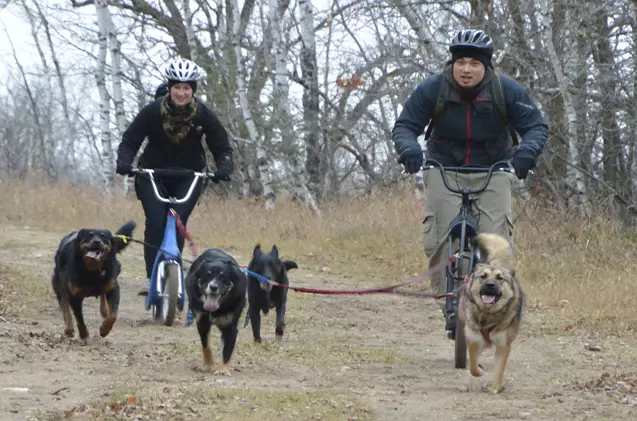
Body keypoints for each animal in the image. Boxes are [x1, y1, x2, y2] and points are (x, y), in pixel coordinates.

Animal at [184, 246, 246, 374]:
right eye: (207, 275)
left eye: (223, 276)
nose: (213, 287)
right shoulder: (202, 322)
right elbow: (206, 345)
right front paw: (208, 365)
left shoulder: (230, 326)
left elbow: (227, 349)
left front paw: (223, 369)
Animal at [460, 231, 524, 392]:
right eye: (483, 276)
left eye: (500, 278)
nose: (489, 285)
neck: (488, 313)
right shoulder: (473, 340)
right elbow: (473, 366)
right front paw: (478, 372)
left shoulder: (503, 345)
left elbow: (499, 370)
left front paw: (495, 388)